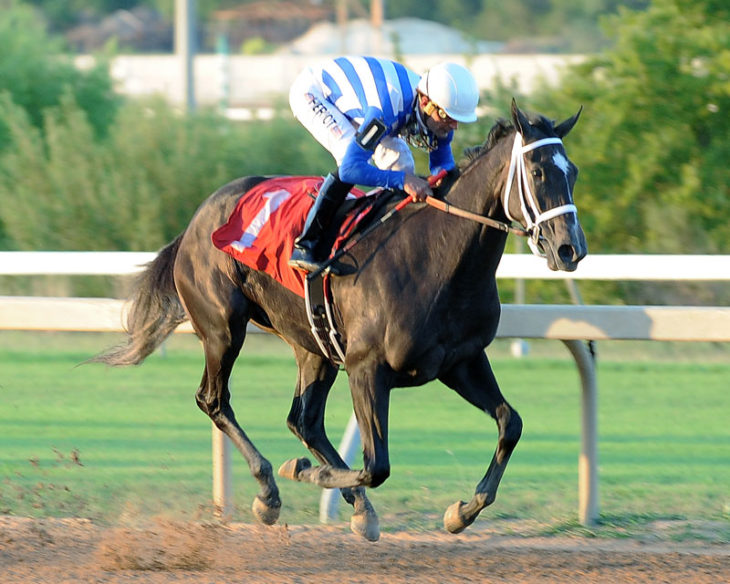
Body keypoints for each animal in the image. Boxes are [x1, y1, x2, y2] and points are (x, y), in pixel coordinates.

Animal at [94, 100, 586, 541]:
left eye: (574, 172)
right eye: (538, 172)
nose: (571, 249)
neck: (438, 257)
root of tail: (196, 220)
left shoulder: (460, 361)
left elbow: (510, 423)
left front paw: (461, 512)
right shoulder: (367, 367)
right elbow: (376, 465)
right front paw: (304, 472)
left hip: (313, 344)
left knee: (303, 420)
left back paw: (351, 505)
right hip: (223, 328)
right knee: (214, 400)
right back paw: (270, 490)